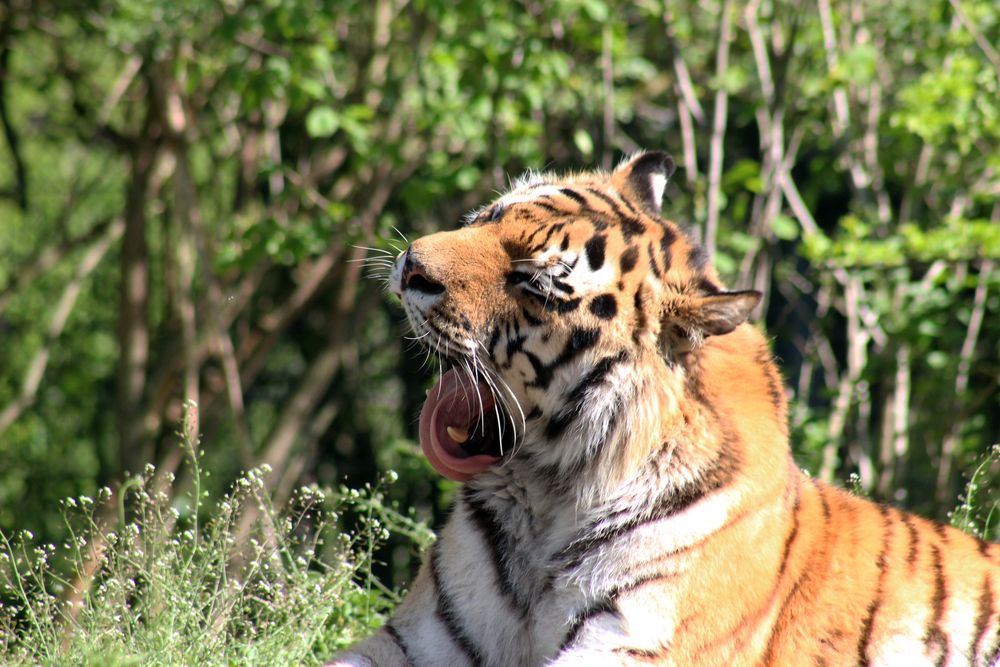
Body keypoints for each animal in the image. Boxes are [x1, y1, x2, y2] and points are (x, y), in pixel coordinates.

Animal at [330, 152, 1000, 666]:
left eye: (535, 283)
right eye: (491, 216)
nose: (411, 266)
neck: (546, 496)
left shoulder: (631, 642)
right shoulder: (418, 638)